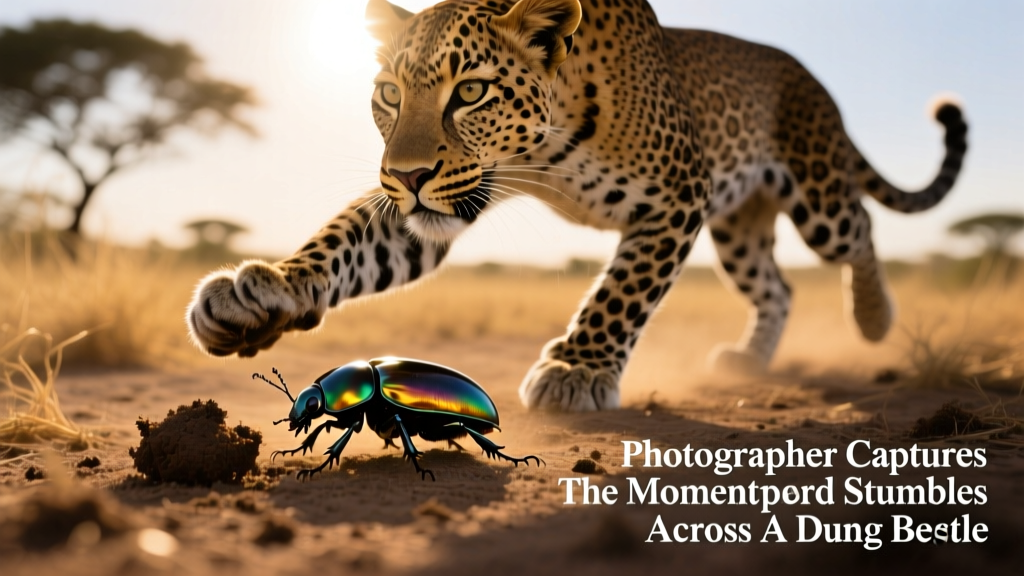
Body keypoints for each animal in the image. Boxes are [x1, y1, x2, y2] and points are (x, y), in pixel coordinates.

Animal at [186, 0, 967, 412]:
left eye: (470, 91)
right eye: (388, 94)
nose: (404, 174)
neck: (547, 140)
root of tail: (813, 79)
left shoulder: (676, 195)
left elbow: (620, 293)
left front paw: (577, 372)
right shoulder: (443, 199)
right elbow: (346, 243)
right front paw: (264, 293)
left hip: (815, 190)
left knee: (859, 228)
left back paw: (873, 317)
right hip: (740, 231)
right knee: (776, 287)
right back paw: (748, 358)